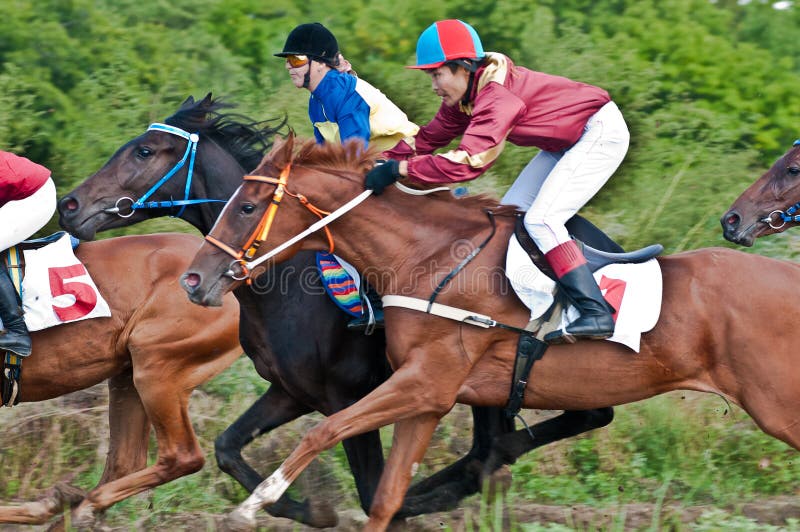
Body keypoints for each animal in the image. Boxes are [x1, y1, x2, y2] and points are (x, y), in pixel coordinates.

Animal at [57, 95, 618, 527]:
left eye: (144, 150)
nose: (69, 205)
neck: (288, 280)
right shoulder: (293, 391)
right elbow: (227, 448)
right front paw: (309, 510)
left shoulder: (350, 394)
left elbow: (371, 490)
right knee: (552, 427)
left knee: (514, 440)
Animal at [180, 135, 800, 531]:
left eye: (248, 206)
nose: (194, 280)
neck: (427, 259)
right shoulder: (426, 396)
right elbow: (384, 498)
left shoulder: (418, 383)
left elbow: (323, 432)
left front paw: (254, 505)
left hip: (776, 404)